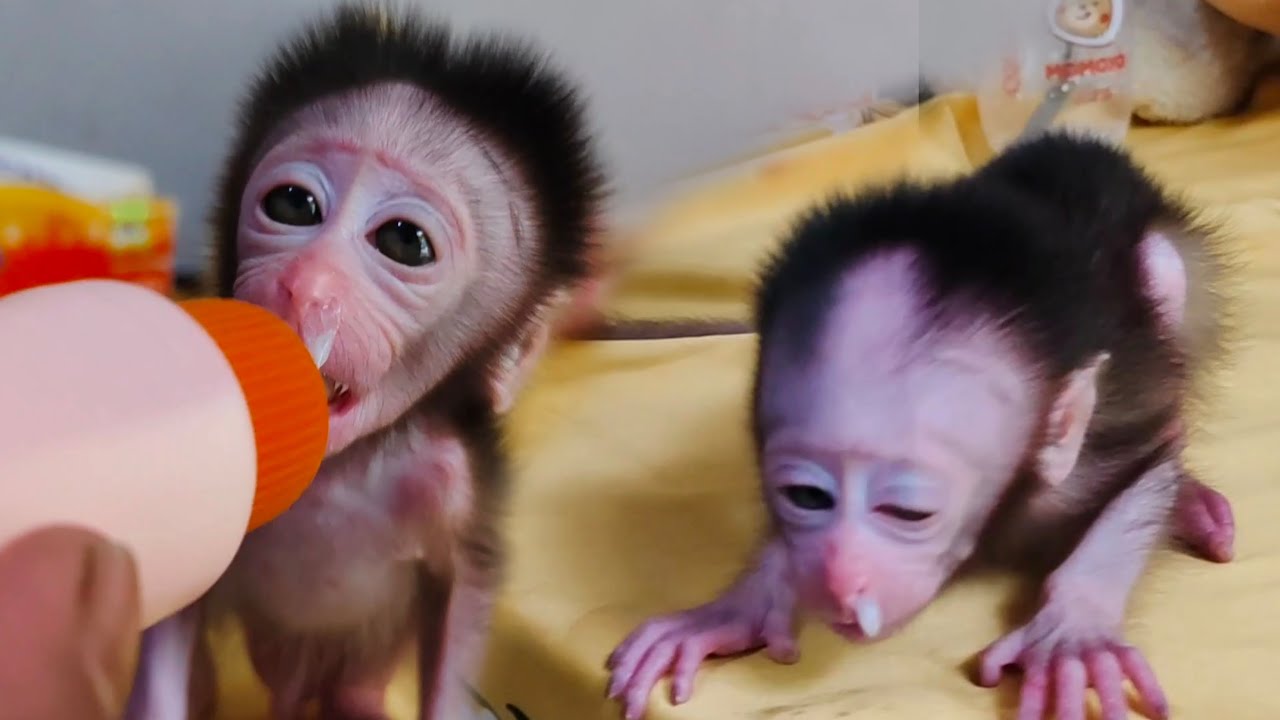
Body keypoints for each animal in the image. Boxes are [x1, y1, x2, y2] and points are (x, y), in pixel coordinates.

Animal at [122, 4, 605, 719]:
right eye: (293, 205)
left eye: (404, 242)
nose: (305, 284)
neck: (333, 471)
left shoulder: (453, 484)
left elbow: (462, 605)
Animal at [604, 131, 1236, 720]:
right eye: (807, 497)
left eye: (907, 512)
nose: (842, 580)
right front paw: (746, 600)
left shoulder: (1098, 443)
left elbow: (1150, 465)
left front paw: (1074, 626)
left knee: (1165, 271)